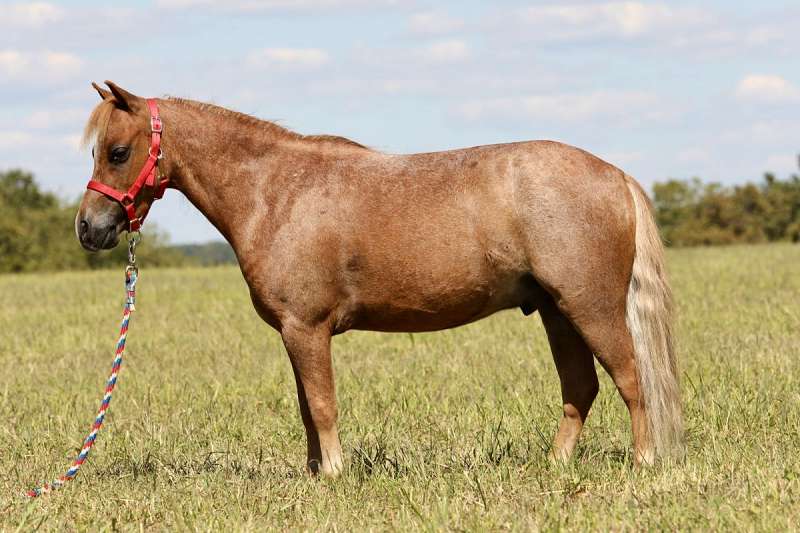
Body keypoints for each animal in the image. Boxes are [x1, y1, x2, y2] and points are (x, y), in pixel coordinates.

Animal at [76, 81, 684, 475]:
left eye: (118, 152)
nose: (89, 227)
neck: (276, 191)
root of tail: (615, 175)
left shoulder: (306, 328)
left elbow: (322, 405)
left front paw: (335, 474)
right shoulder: (296, 333)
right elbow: (306, 407)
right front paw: (316, 475)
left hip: (590, 307)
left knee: (631, 379)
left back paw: (644, 462)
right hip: (557, 312)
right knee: (581, 389)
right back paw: (554, 466)